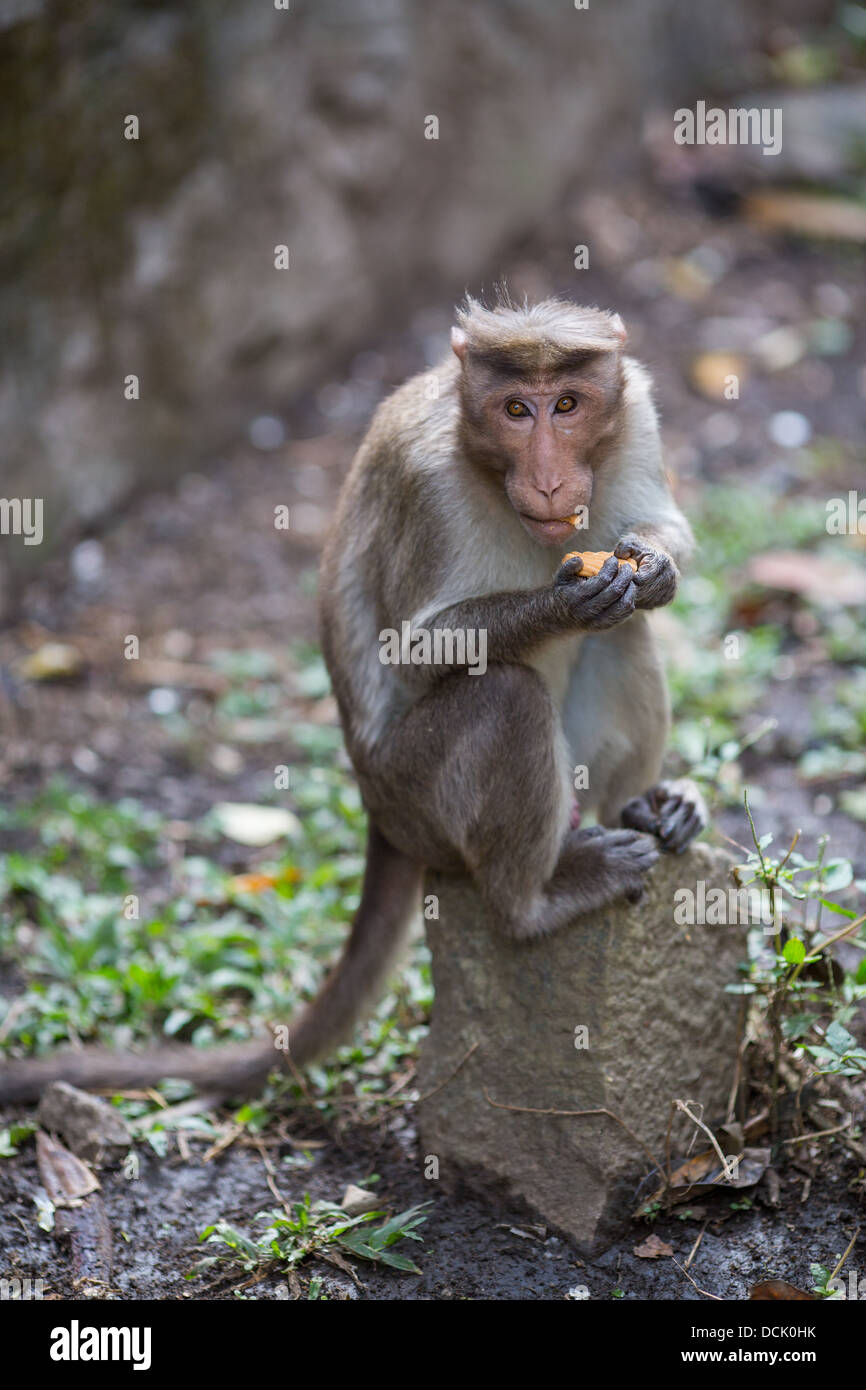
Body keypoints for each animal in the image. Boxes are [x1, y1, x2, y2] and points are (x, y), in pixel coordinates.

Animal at [0, 295, 706, 1105]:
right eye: (515, 410)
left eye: (567, 405)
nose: (552, 480)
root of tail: (374, 807)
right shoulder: (427, 484)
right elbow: (417, 647)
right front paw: (566, 602)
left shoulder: (638, 413)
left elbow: (663, 541)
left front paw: (652, 567)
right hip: (416, 797)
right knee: (504, 694)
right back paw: (535, 903)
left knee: (625, 636)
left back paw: (644, 807)